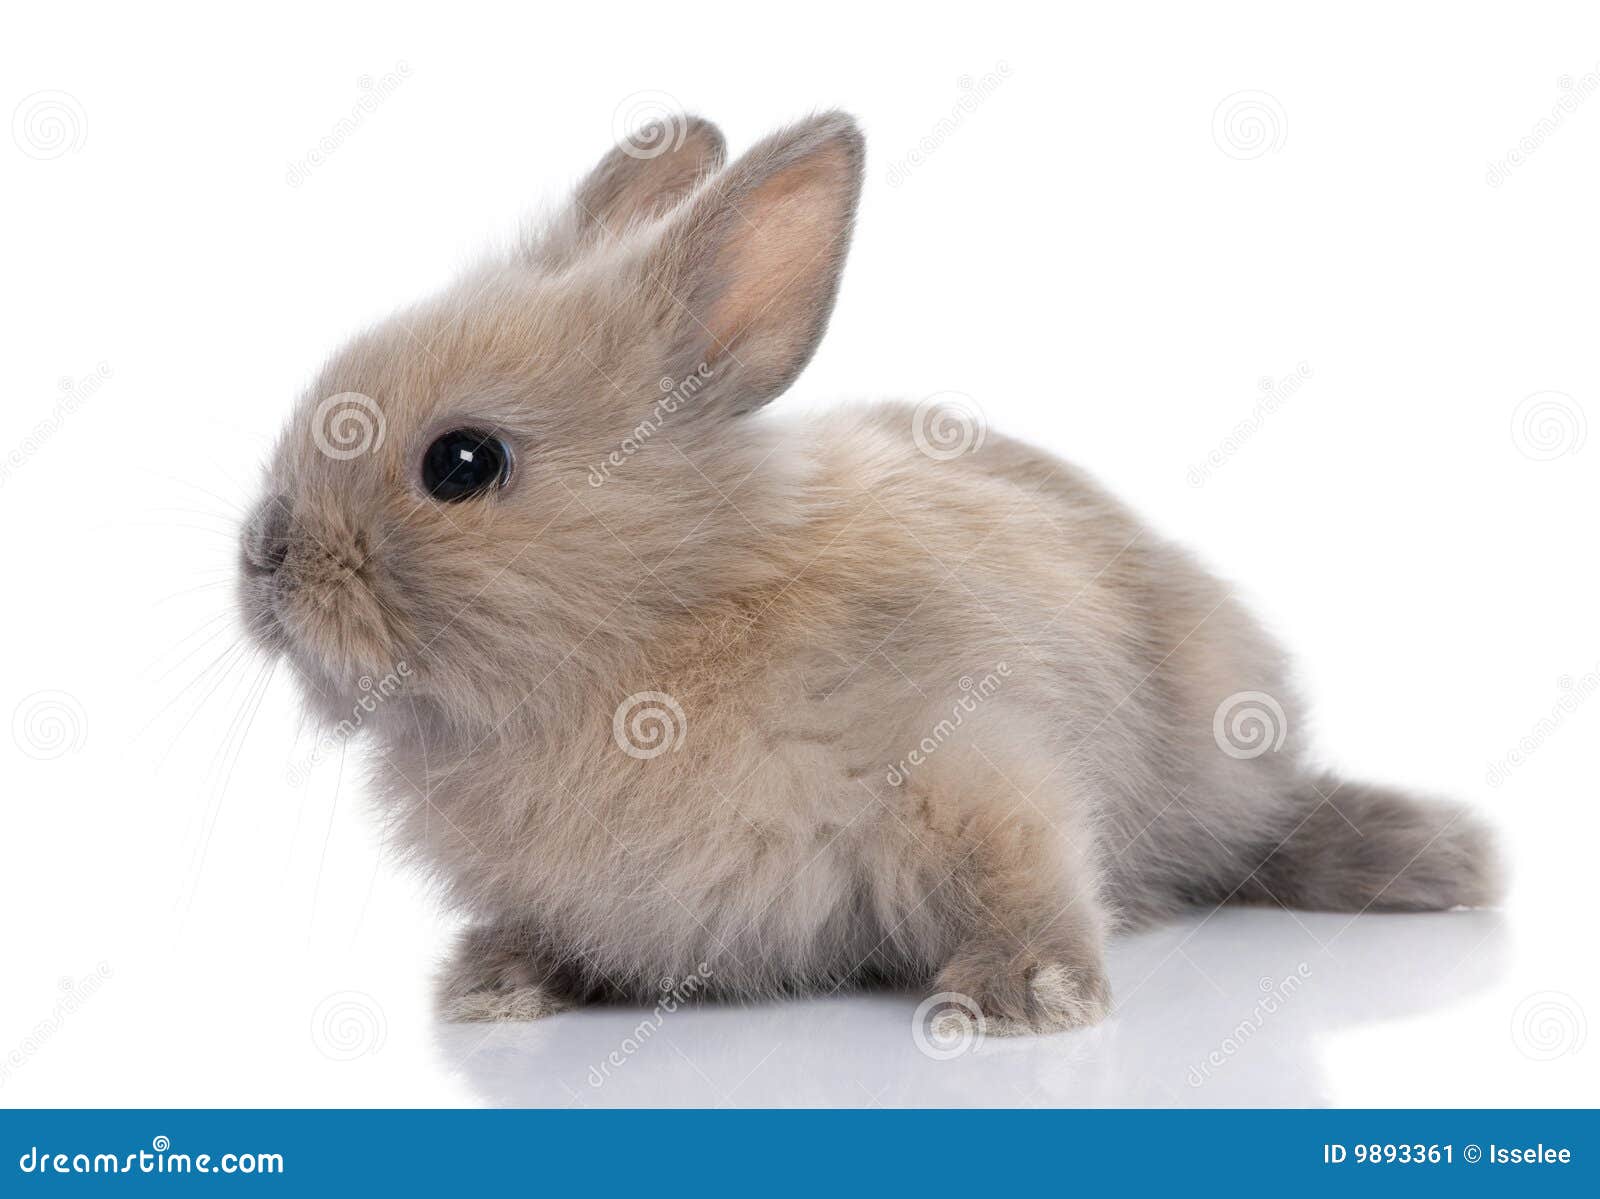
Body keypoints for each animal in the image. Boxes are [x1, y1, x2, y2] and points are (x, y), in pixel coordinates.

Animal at [238, 110, 1500, 1033]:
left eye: (463, 462)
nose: (262, 558)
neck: (659, 619)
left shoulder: (980, 763)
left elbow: (1026, 872)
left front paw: (1023, 999)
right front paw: (495, 984)